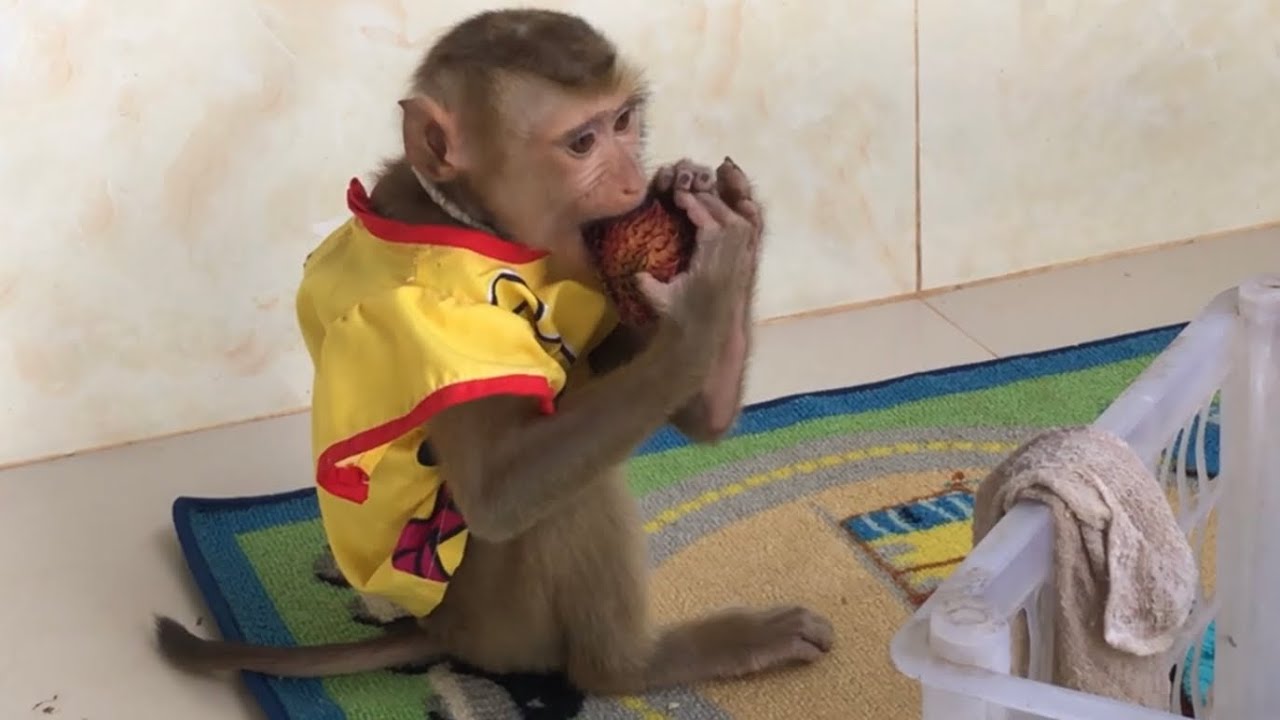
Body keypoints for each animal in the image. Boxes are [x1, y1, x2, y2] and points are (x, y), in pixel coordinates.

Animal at [155, 8, 833, 696]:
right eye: (582, 144)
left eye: (622, 122)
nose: (630, 182)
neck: (480, 226)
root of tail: (445, 633)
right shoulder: (433, 321)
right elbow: (498, 493)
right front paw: (710, 294)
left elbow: (698, 417)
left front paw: (736, 218)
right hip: (505, 620)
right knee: (567, 498)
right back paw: (630, 666)